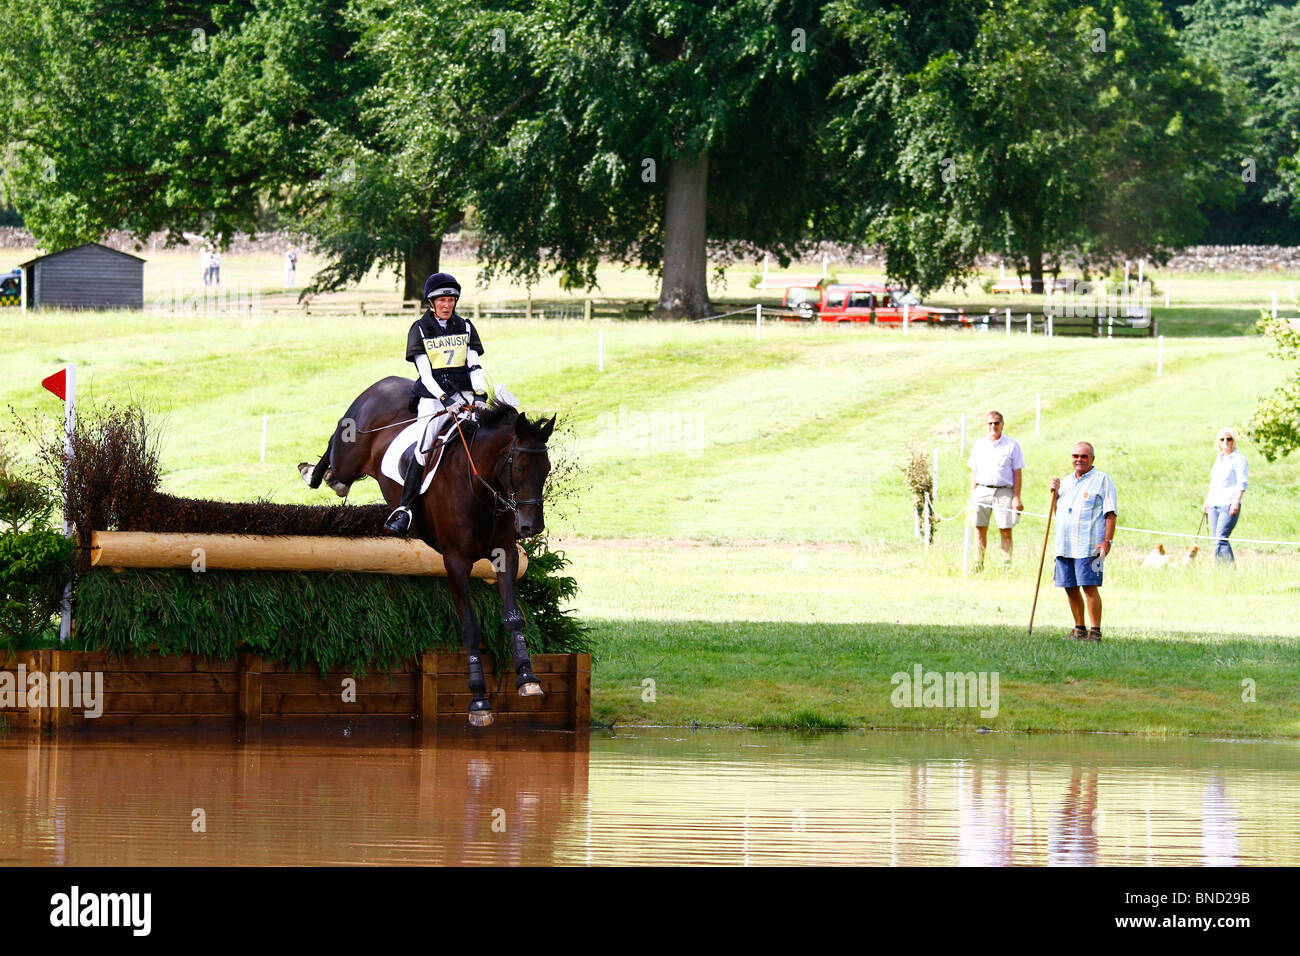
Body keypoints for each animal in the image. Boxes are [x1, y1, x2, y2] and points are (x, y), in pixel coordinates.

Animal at [298, 375, 555, 727]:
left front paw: (528, 678)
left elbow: (513, 617)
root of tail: (383, 383)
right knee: (336, 449)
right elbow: (470, 628)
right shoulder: (456, 561)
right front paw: (479, 701)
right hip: (350, 450)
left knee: (338, 474)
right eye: (518, 468)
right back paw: (312, 471)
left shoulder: (505, 554)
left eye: (546, 468)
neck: (480, 487)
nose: (531, 527)